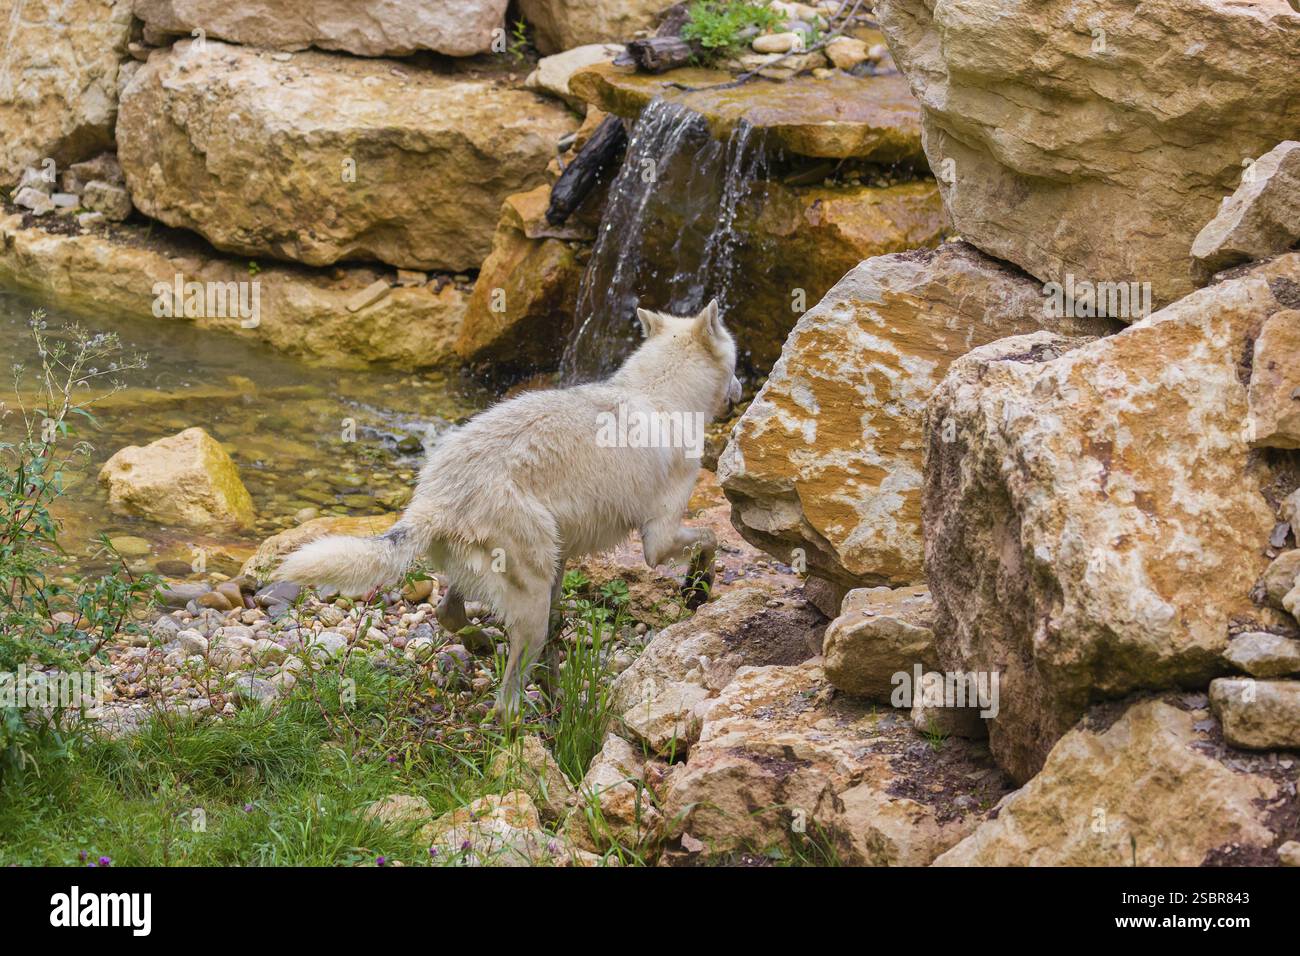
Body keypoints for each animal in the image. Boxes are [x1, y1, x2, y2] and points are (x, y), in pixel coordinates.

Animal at [275, 300, 741, 718]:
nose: (739, 390)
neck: (656, 394)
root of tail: (437, 499)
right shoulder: (657, 540)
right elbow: (711, 538)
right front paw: (698, 588)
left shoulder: (563, 560)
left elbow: (557, 632)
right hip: (528, 601)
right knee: (505, 703)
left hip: (503, 572)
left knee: (448, 612)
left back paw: (486, 649)